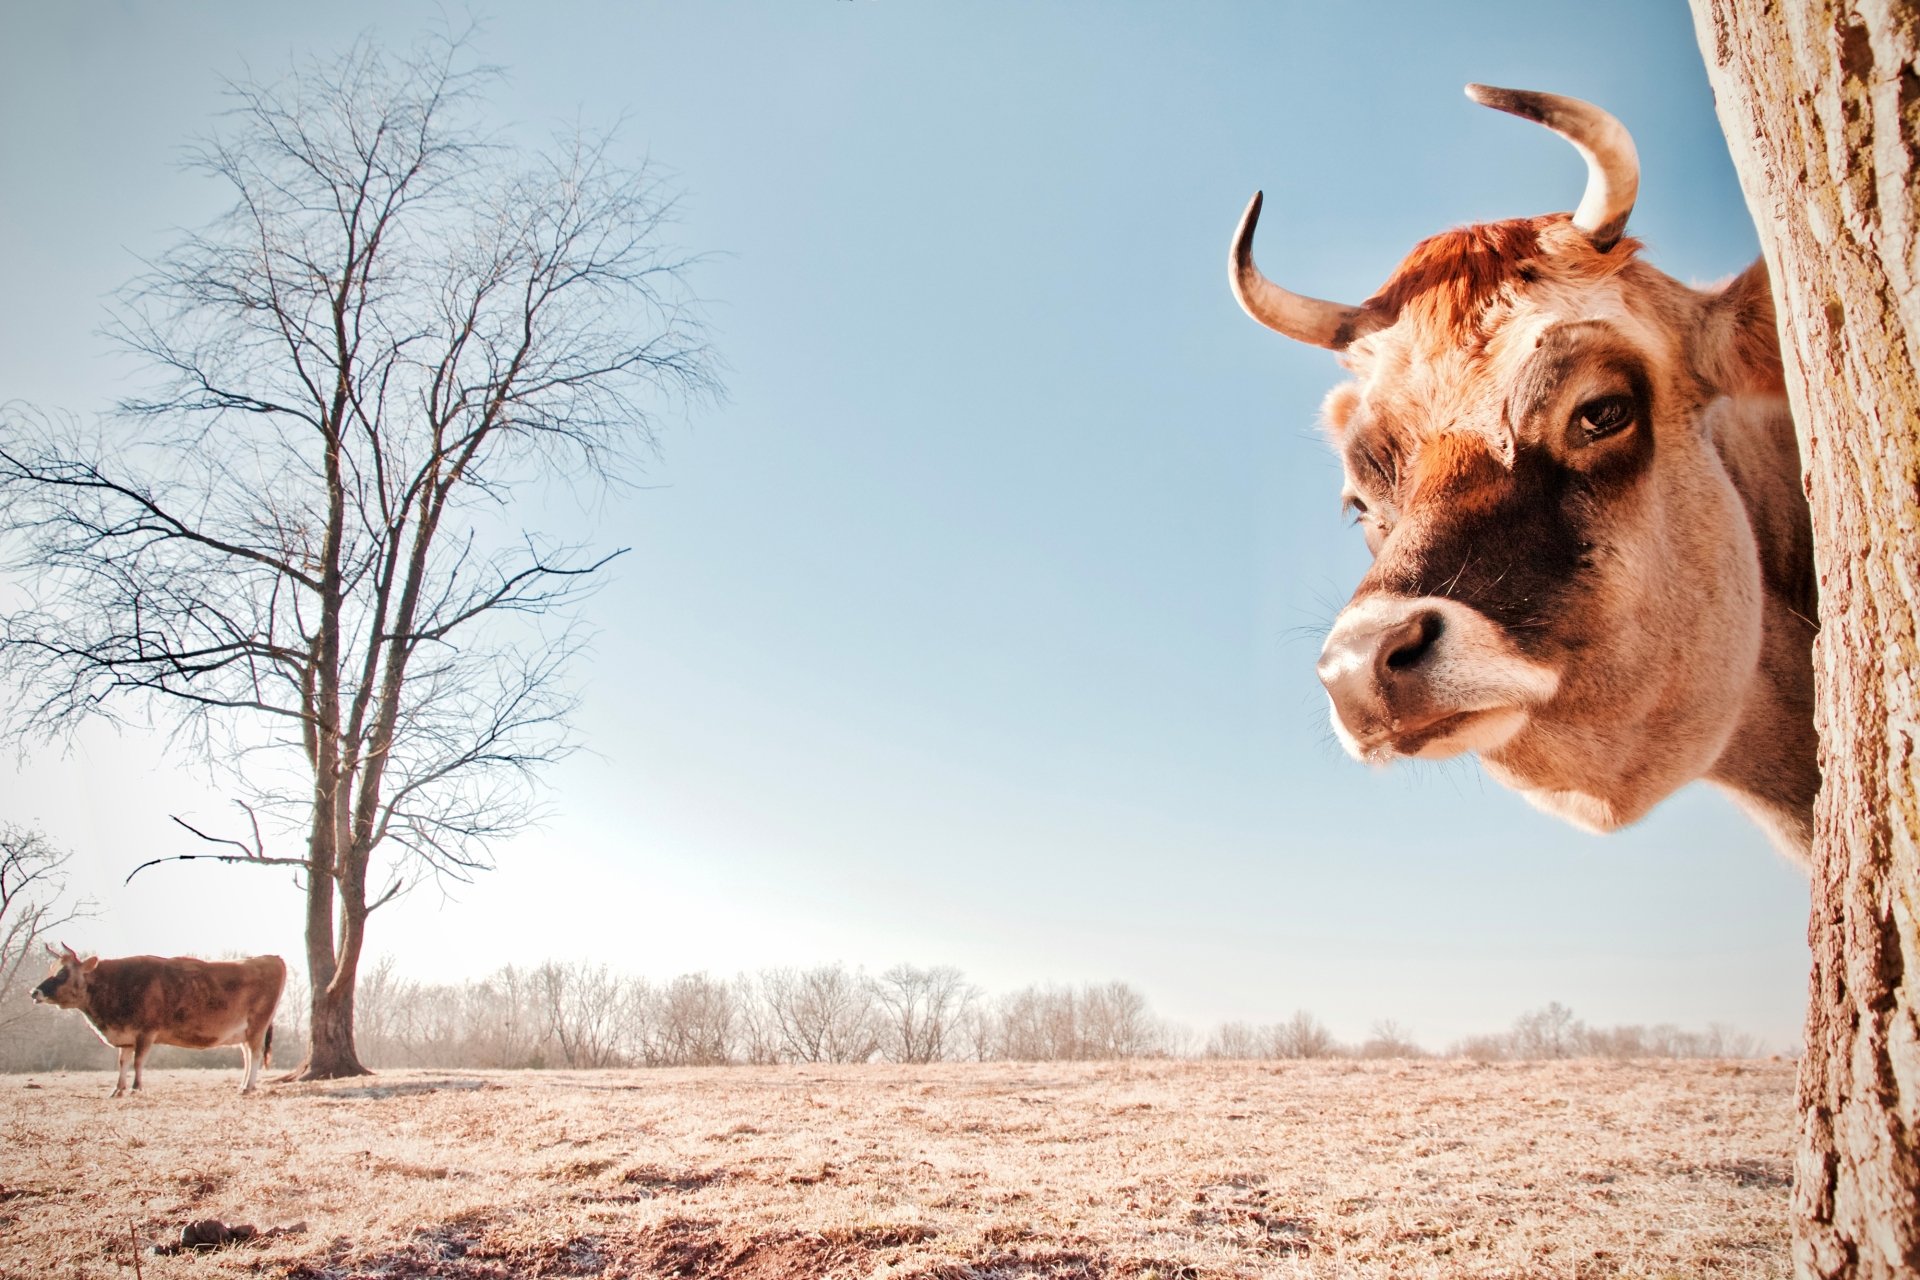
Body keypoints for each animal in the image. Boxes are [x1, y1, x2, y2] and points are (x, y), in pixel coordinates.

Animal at [30, 944, 286, 1095]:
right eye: (51, 969)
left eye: (62, 974)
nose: (34, 991)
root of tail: (270, 958)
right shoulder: (126, 1035)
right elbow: (123, 1062)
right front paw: (118, 1090)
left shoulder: (146, 1031)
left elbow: (138, 1062)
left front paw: (136, 1088)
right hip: (243, 1031)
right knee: (247, 1055)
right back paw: (244, 1085)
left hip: (257, 1025)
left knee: (254, 1054)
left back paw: (248, 1087)